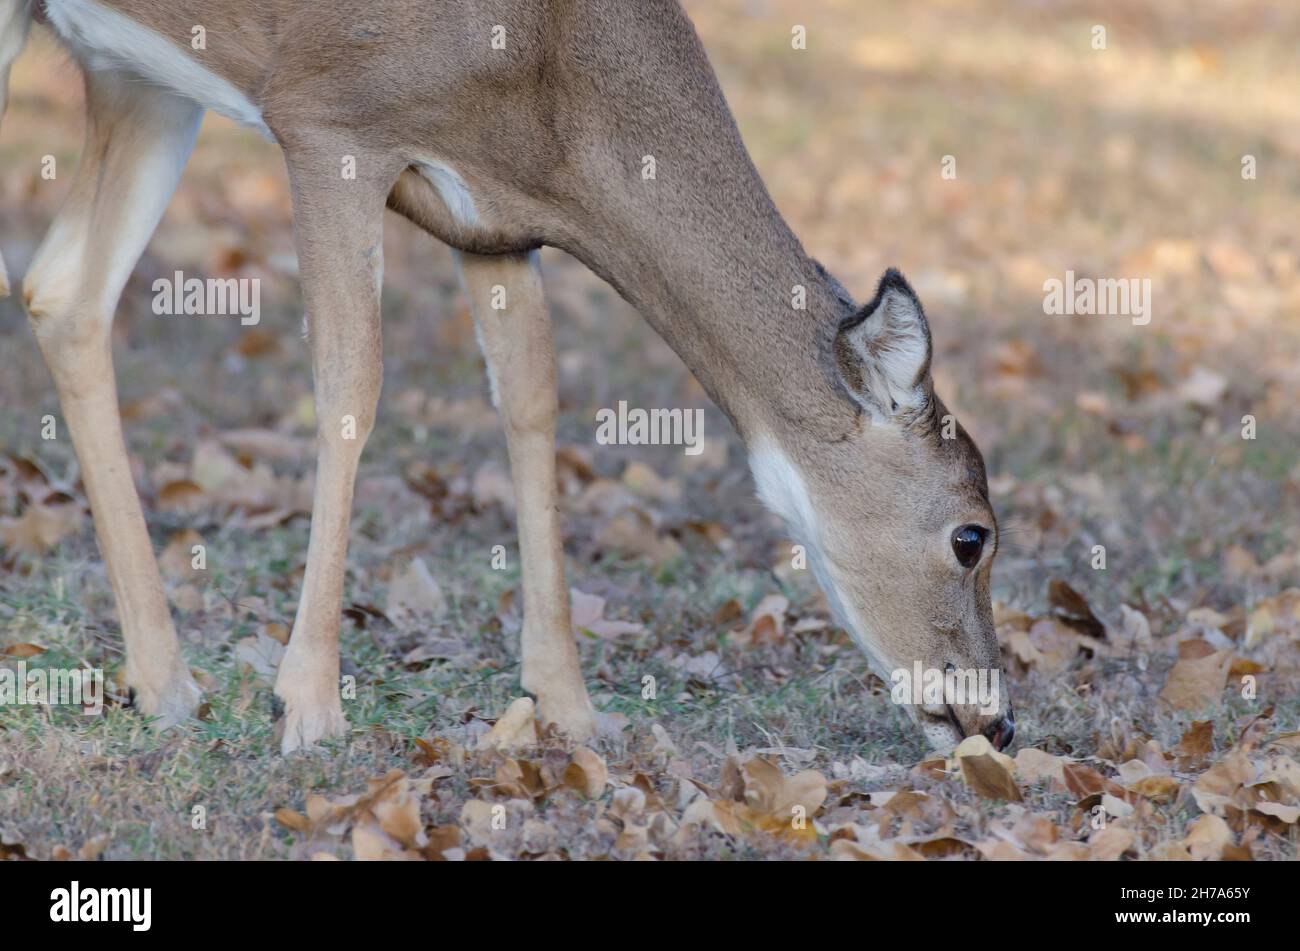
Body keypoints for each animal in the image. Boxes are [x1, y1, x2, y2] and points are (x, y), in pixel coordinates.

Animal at [1, 0, 1014, 755]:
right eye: (972, 536)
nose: (998, 721)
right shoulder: (328, 118)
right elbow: (351, 386)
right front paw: (309, 706)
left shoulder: (492, 224)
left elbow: (531, 400)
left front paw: (569, 706)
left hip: (136, 80)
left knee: (64, 289)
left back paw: (165, 685)